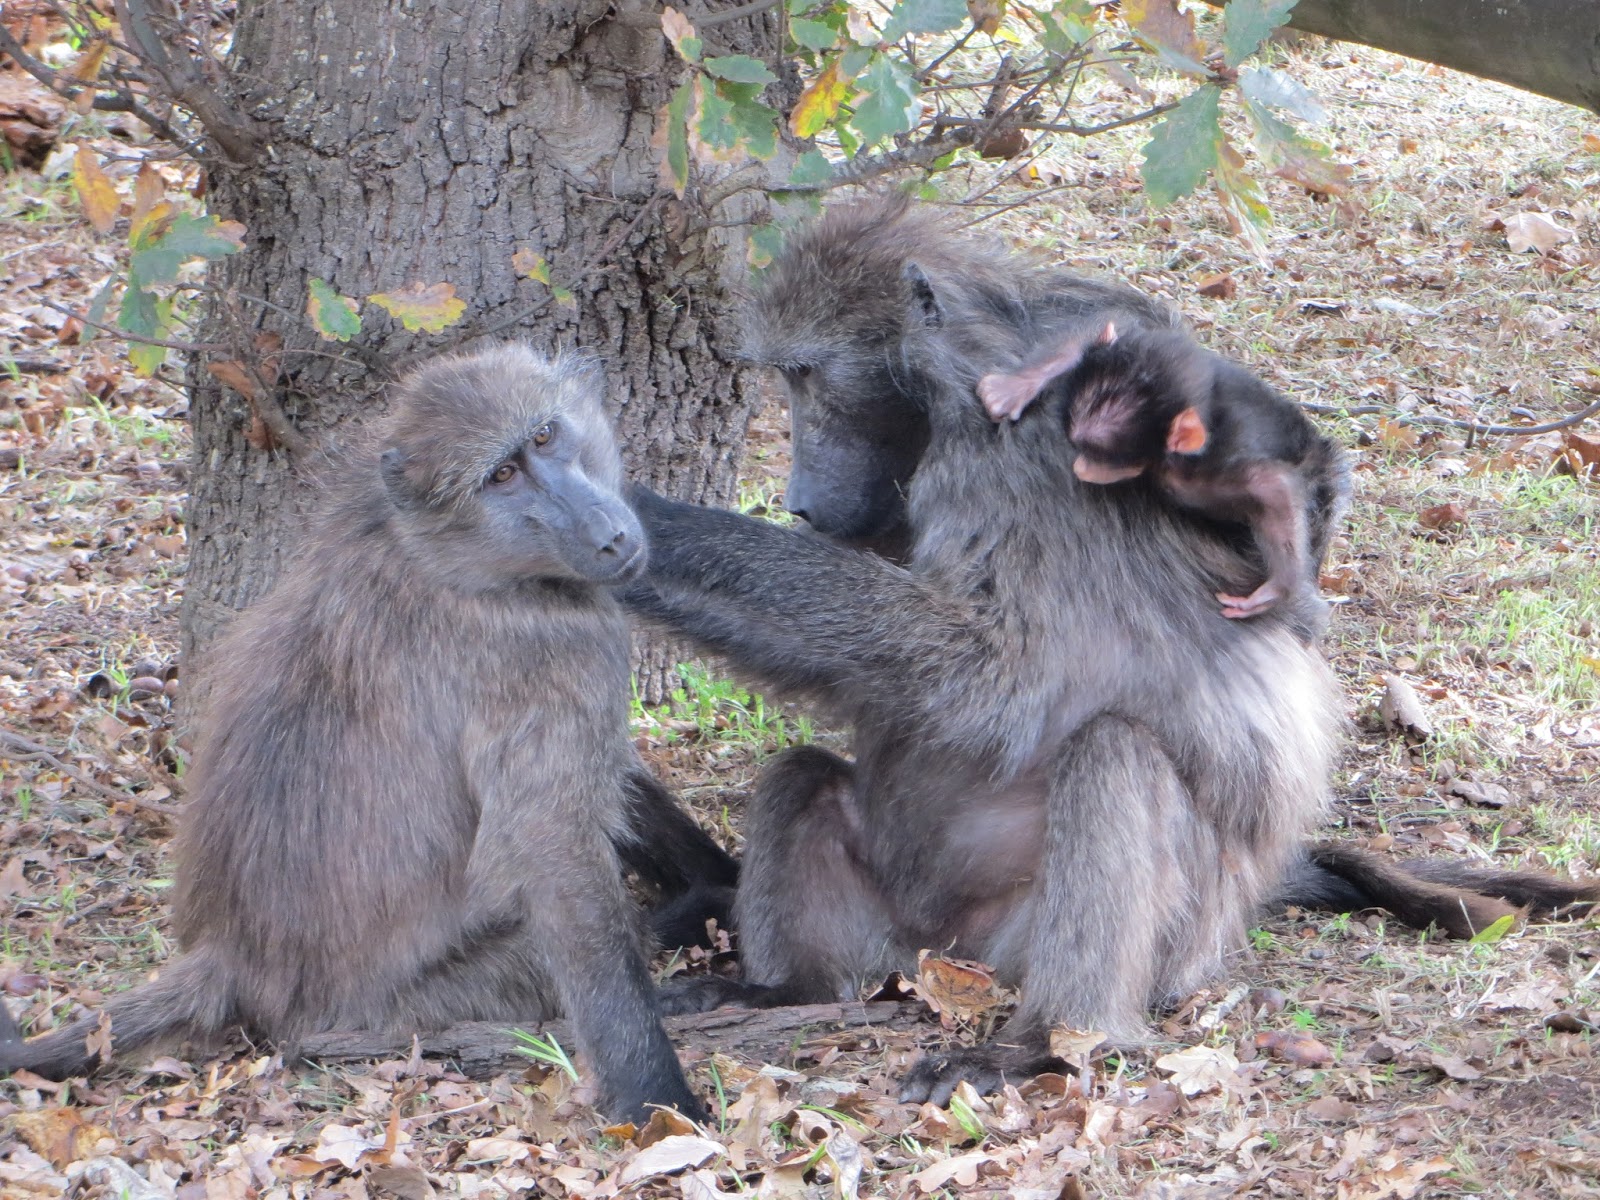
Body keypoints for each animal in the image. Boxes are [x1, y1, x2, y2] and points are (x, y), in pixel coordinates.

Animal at [0, 346, 717, 1124]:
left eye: (546, 436)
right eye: (501, 476)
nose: (607, 535)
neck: (442, 556)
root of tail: (231, 954)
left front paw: (722, 880)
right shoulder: (552, 656)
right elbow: (556, 854)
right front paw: (657, 1097)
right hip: (410, 1000)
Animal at [977, 318, 1348, 636]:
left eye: (1101, 456)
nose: (1080, 467)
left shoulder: (1219, 467)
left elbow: (1274, 489)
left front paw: (1276, 590)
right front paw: (1012, 388)